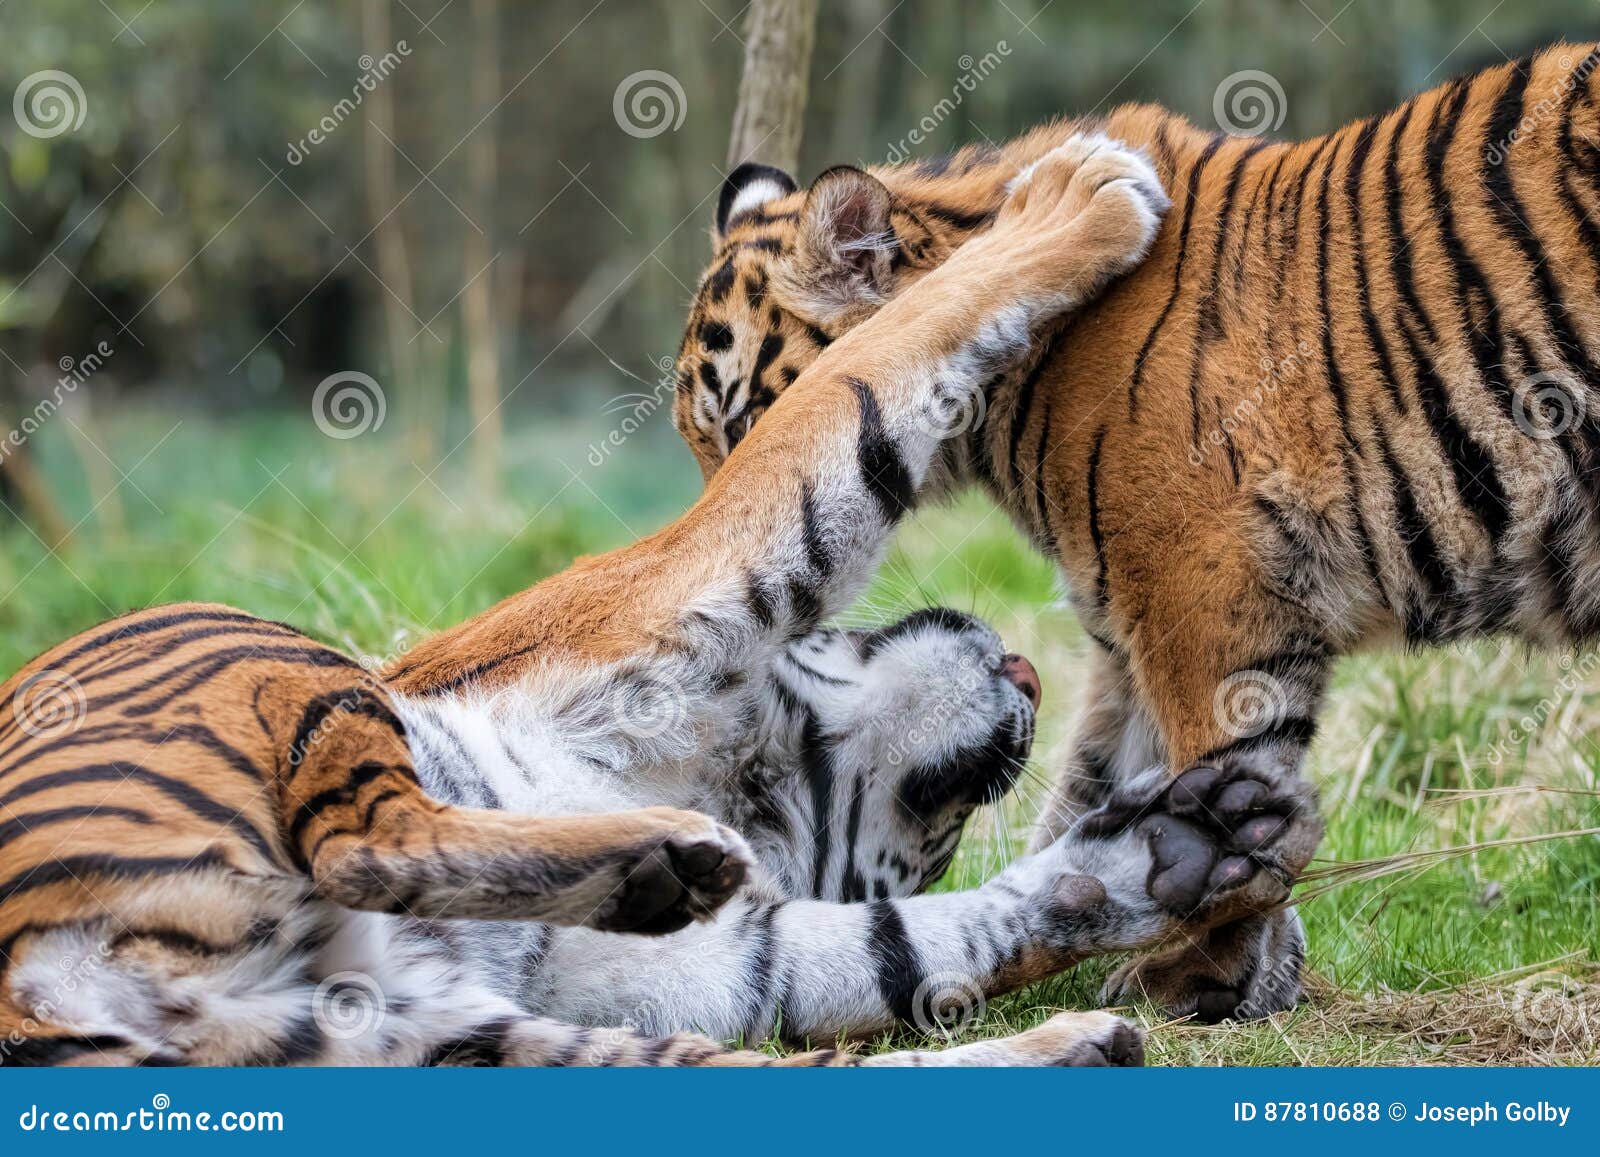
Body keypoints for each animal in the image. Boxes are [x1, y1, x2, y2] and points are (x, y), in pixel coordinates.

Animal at [0, 133, 1196, 1067]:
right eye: (943, 832)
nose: (1032, 671)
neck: (753, 771)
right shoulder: (675, 575)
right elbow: (869, 365)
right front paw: (1082, 191)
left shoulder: (726, 964)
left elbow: (903, 943)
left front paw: (1158, 855)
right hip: (263, 656)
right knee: (366, 837)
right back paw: (668, 855)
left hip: (448, 1025)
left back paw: (1080, 1034)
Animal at [674, 42, 1600, 1025]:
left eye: (739, 422)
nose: (726, 546)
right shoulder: (1124, 615)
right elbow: (1096, 775)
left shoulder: (1198, 591)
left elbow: (1229, 773)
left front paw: (1204, 970)